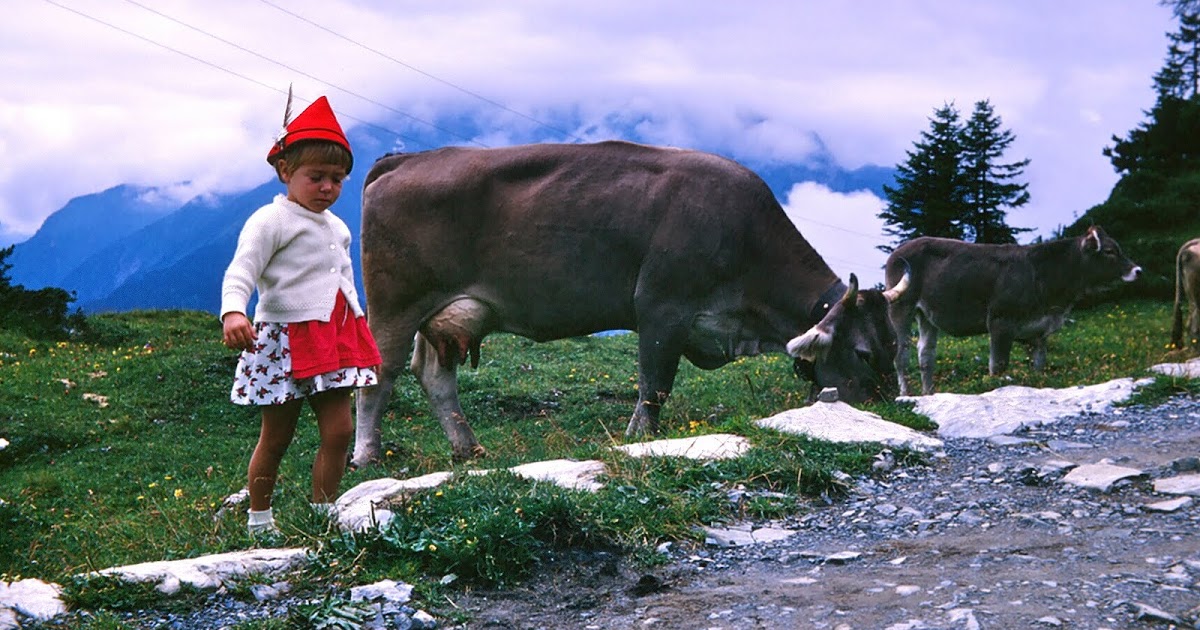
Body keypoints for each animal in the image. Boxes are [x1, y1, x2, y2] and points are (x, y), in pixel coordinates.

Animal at [351, 140, 907, 466]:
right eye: (862, 353)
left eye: (894, 344)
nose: (887, 407)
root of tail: (406, 159)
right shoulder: (661, 309)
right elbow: (653, 386)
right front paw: (637, 439)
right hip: (395, 305)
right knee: (381, 376)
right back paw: (367, 456)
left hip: (444, 314)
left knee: (434, 376)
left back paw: (469, 448)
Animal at [884, 226, 1142, 396]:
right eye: (1109, 251)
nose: (1137, 270)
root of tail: (900, 249)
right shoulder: (1000, 321)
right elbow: (998, 366)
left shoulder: (1038, 331)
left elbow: (1039, 366)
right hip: (900, 306)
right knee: (901, 354)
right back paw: (906, 394)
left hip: (927, 315)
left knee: (925, 354)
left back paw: (929, 394)